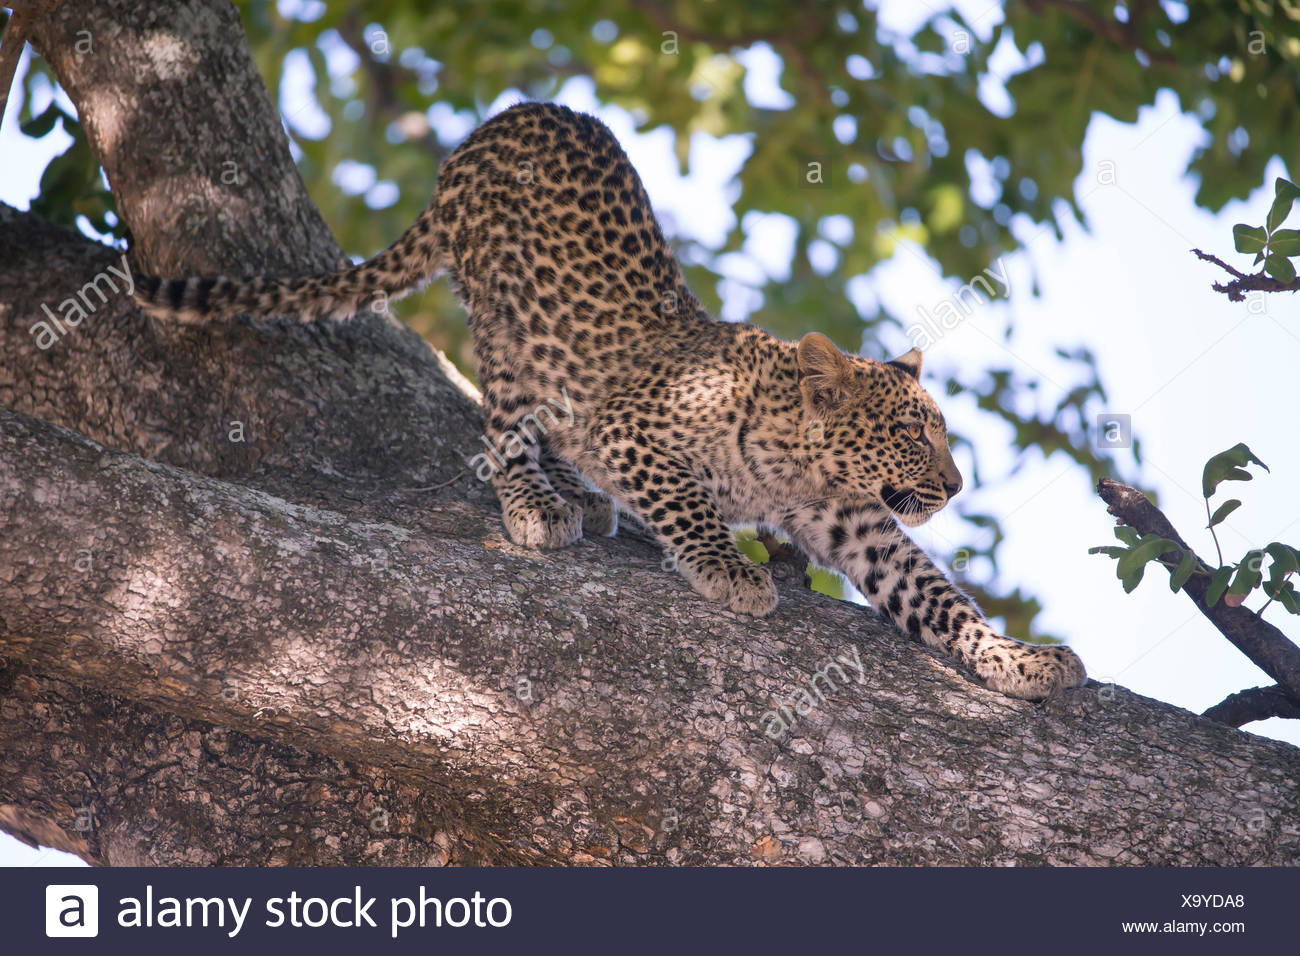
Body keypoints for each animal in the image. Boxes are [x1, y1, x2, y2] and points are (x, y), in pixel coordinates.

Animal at [134, 101, 1086, 701]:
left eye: (940, 438)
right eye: (910, 434)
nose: (955, 486)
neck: (798, 473)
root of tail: (490, 130)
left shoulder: (860, 526)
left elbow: (938, 597)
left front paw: (1024, 662)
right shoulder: (636, 428)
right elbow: (690, 502)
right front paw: (730, 571)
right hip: (513, 332)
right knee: (505, 428)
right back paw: (540, 501)